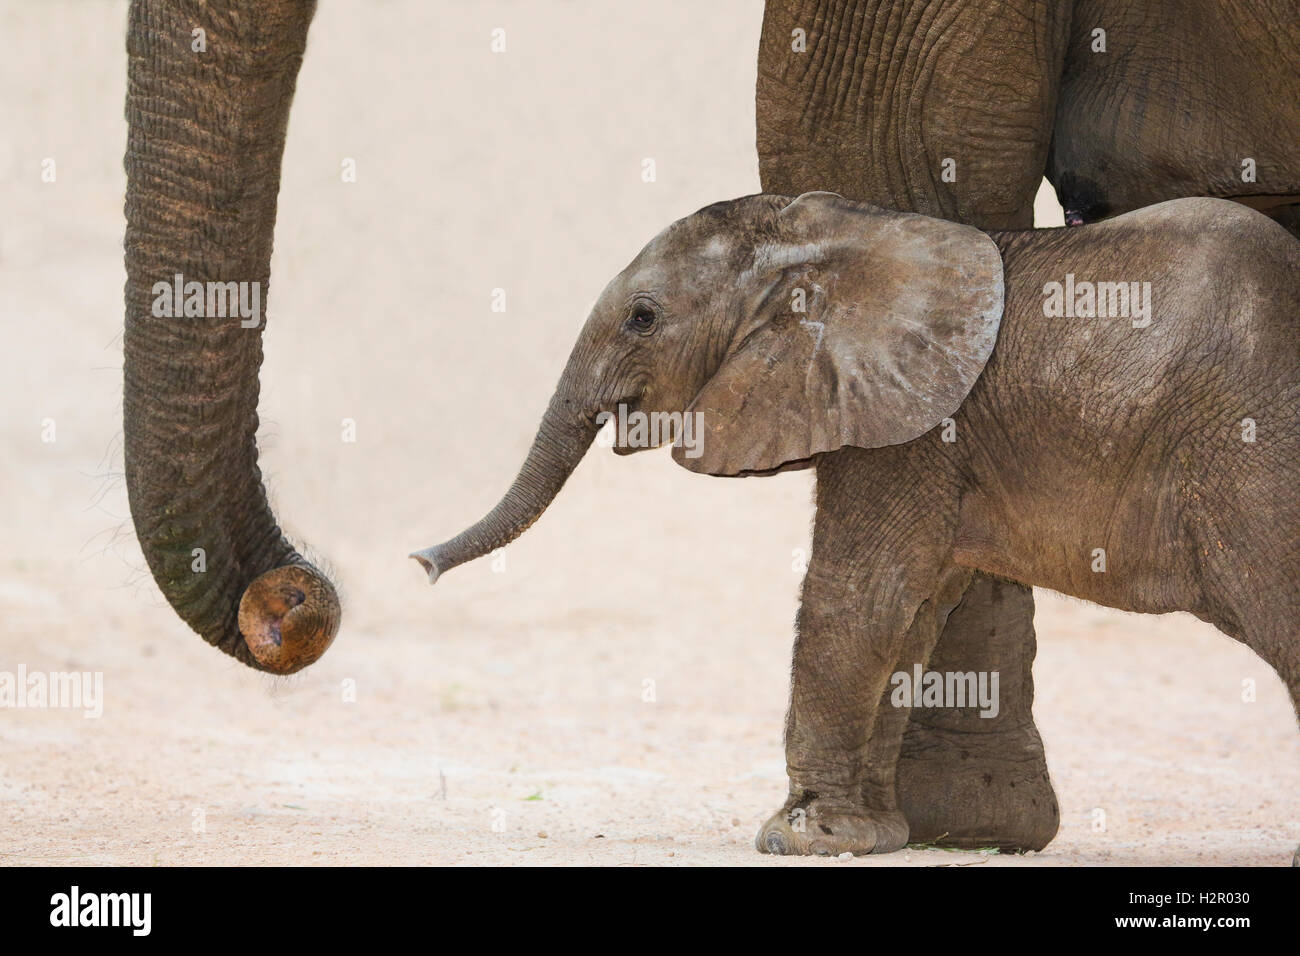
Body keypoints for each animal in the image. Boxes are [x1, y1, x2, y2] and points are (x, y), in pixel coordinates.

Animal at [412, 191, 1300, 860]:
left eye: (641, 317)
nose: (420, 564)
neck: (828, 233)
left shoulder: (902, 426)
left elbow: (860, 597)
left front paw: (797, 837)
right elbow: (911, 617)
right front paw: (872, 836)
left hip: (1252, 455)